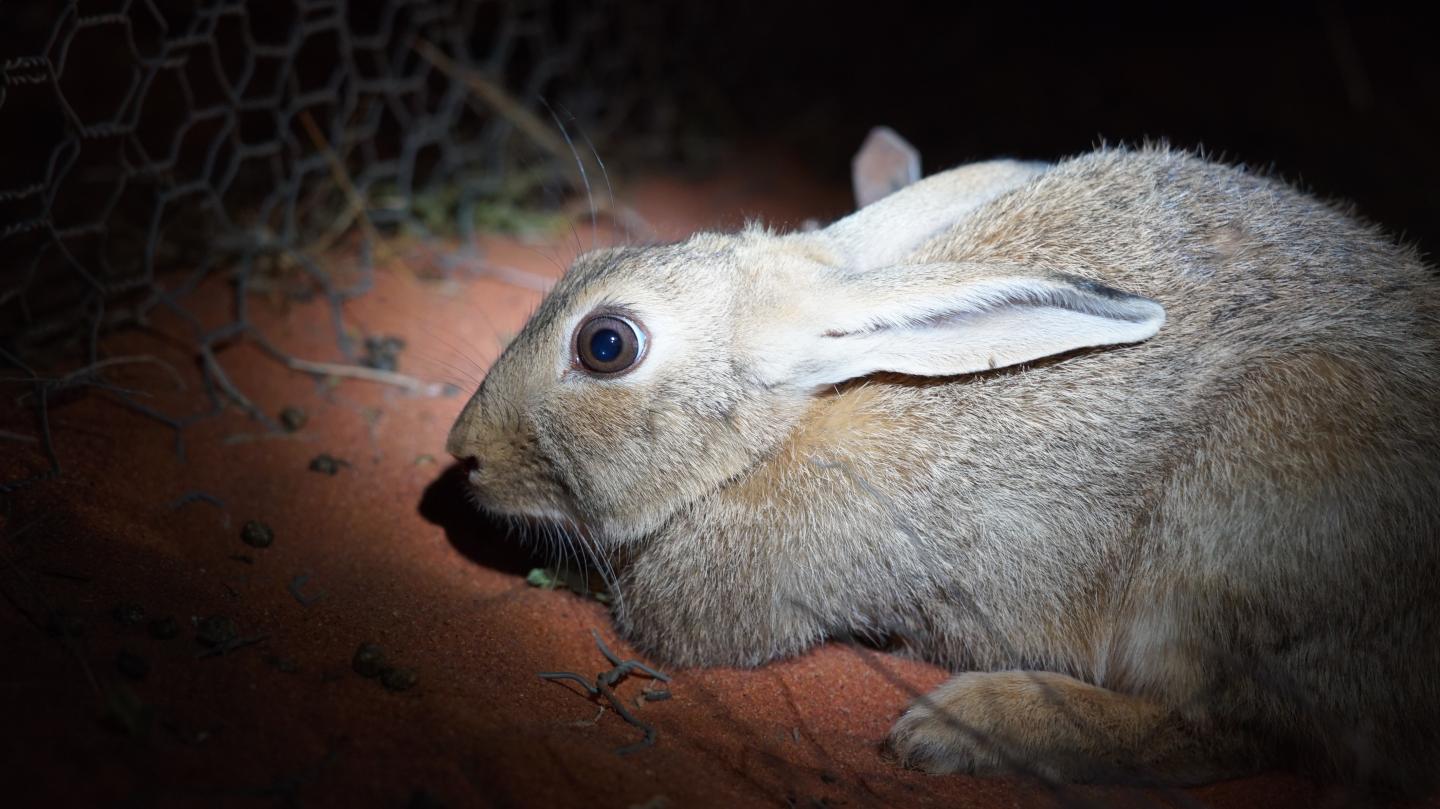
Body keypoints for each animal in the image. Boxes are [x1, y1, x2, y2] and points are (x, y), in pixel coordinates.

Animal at [446, 145, 1440, 792]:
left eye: (606, 344)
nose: (464, 453)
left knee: (1227, 730)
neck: (789, 419)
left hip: (1241, 518)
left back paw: (969, 725)